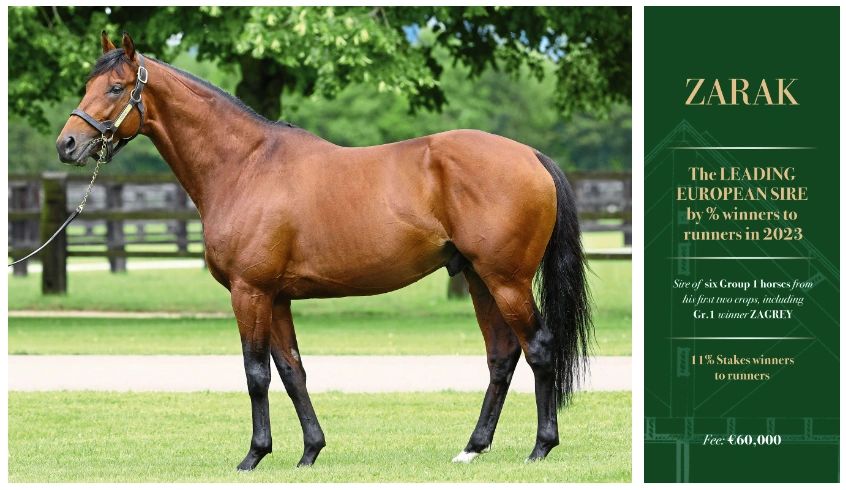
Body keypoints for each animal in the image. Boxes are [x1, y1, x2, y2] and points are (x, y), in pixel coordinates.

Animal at [56, 32, 592, 472]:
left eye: (116, 88)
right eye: (88, 83)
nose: (68, 144)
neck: (245, 165)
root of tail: (530, 155)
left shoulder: (249, 292)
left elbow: (255, 373)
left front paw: (254, 455)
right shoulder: (275, 297)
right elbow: (292, 370)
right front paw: (310, 451)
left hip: (507, 281)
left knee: (538, 347)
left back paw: (541, 447)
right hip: (479, 279)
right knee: (502, 355)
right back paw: (472, 447)